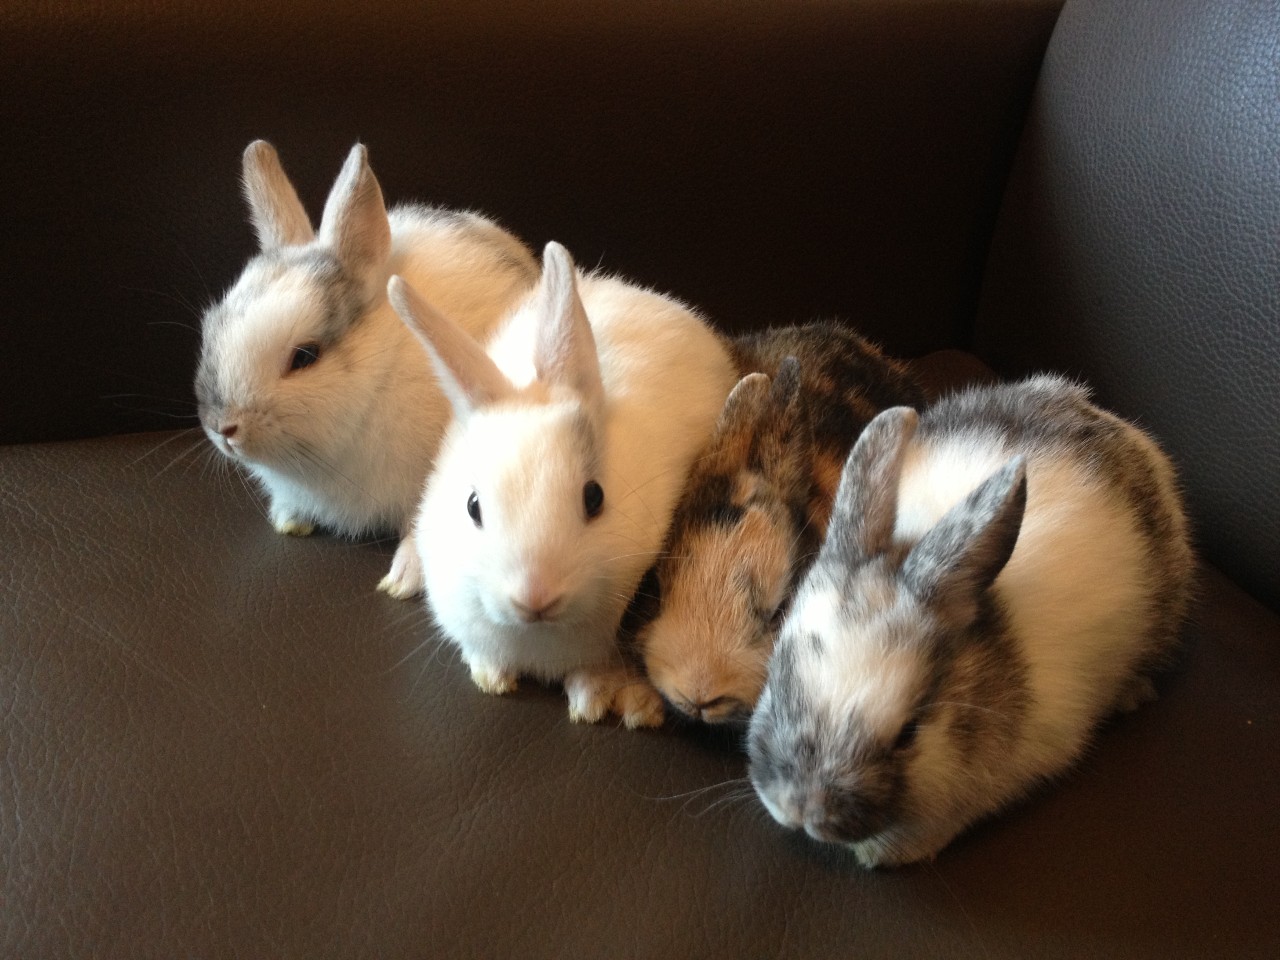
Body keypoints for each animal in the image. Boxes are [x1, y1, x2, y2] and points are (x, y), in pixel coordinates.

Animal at [194, 140, 538, 598]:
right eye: (212, 325)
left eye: (305, 356)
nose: (223, 428)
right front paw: (290, 520)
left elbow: (419, 529)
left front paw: (403, 580)